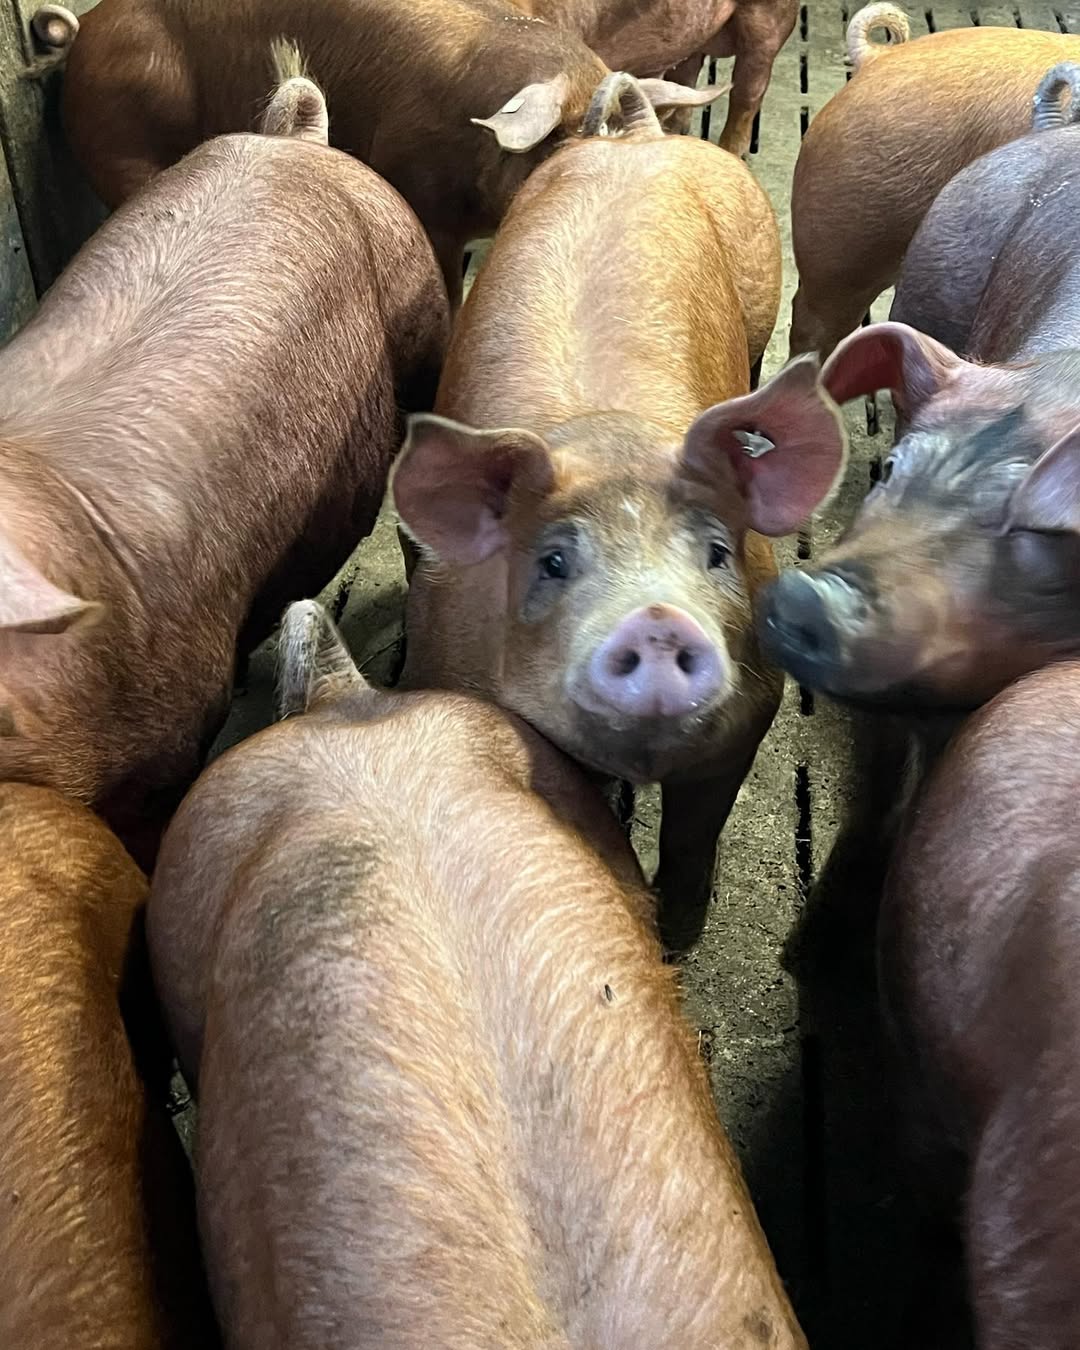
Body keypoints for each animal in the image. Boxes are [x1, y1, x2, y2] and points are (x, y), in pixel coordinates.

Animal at [390, 73, 817, 950]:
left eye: (716, 554)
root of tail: (635, 136)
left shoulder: (753, 705)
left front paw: (681, 937)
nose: (654, 617)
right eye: (553, 562)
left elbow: (694, 834)